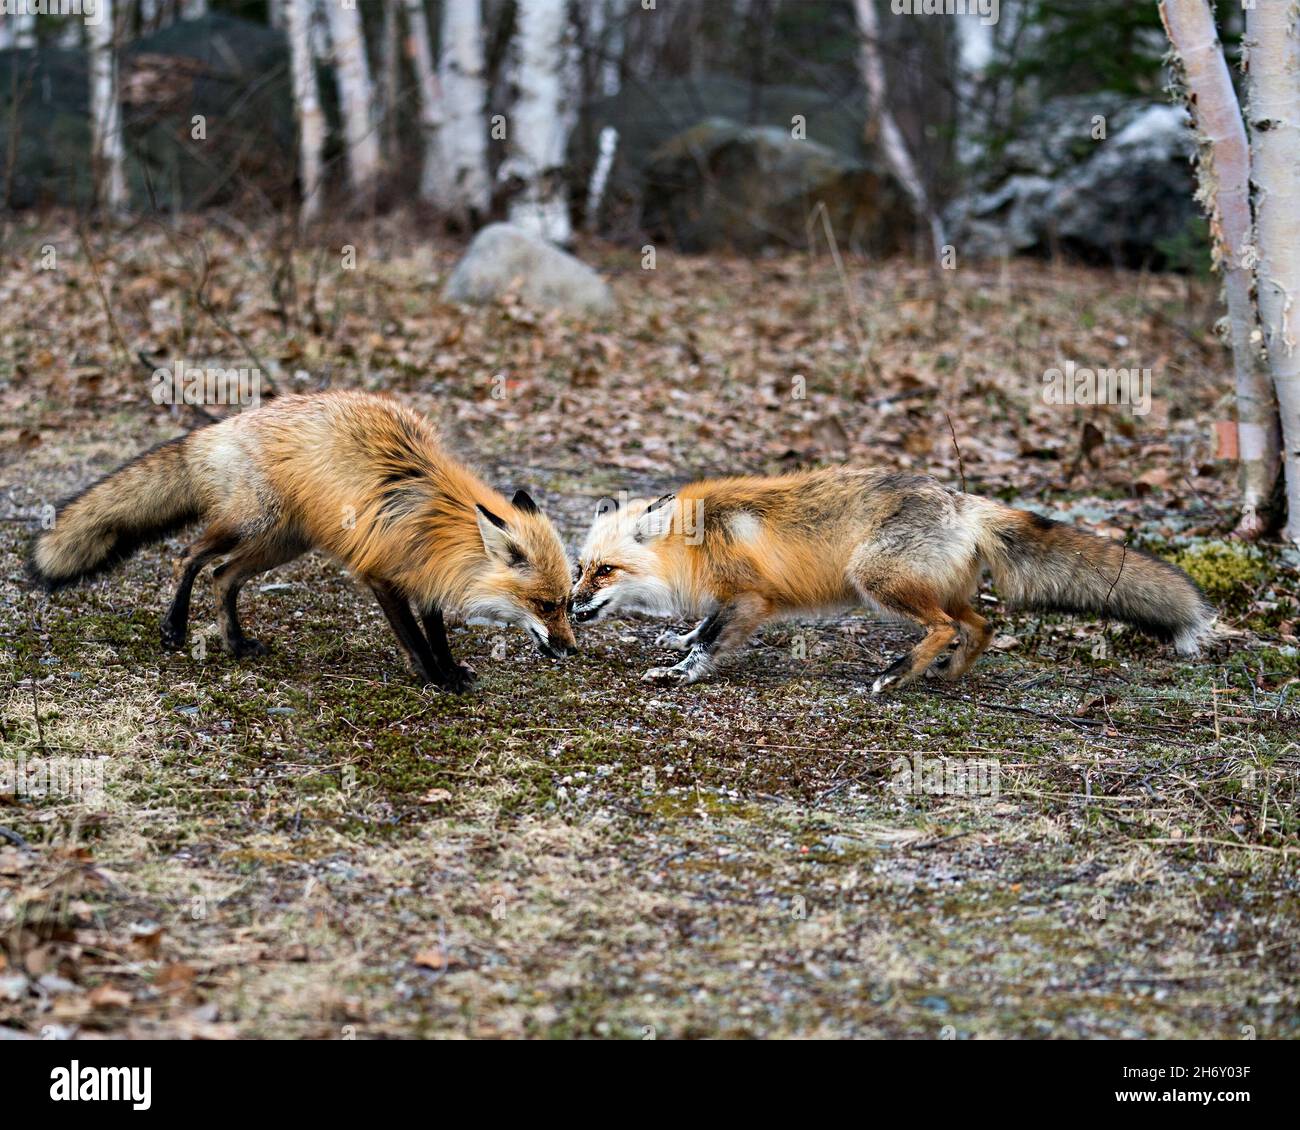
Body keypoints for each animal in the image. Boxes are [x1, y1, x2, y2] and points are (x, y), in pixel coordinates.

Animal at [28, 391, 576, 691]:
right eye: (545, 605)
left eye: (566, 604)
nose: (571, 650)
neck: (437, 518)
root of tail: (221, 426)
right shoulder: (380, 574)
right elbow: (414, 638)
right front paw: (431, 677)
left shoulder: (426, 574)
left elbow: (437, 632)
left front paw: (450, 671)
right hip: (252, 525)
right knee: (188, 558)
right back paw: (174, 627)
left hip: (282, 545)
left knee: (222, 576)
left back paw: (235, 642)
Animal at [571, 469, 1215, 693]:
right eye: (581, 568)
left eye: (606, 570)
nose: (569, 606)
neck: (696, 545)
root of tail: (962, 500)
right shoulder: (731, 599)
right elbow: (701, 625)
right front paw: (675, 641)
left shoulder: (750, 598)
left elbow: (709, 641)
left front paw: (680, 672)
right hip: (936, 588)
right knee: (980, 623)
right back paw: (948, 674)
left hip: (876, 580)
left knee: (944, 625)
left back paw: (897, 673)